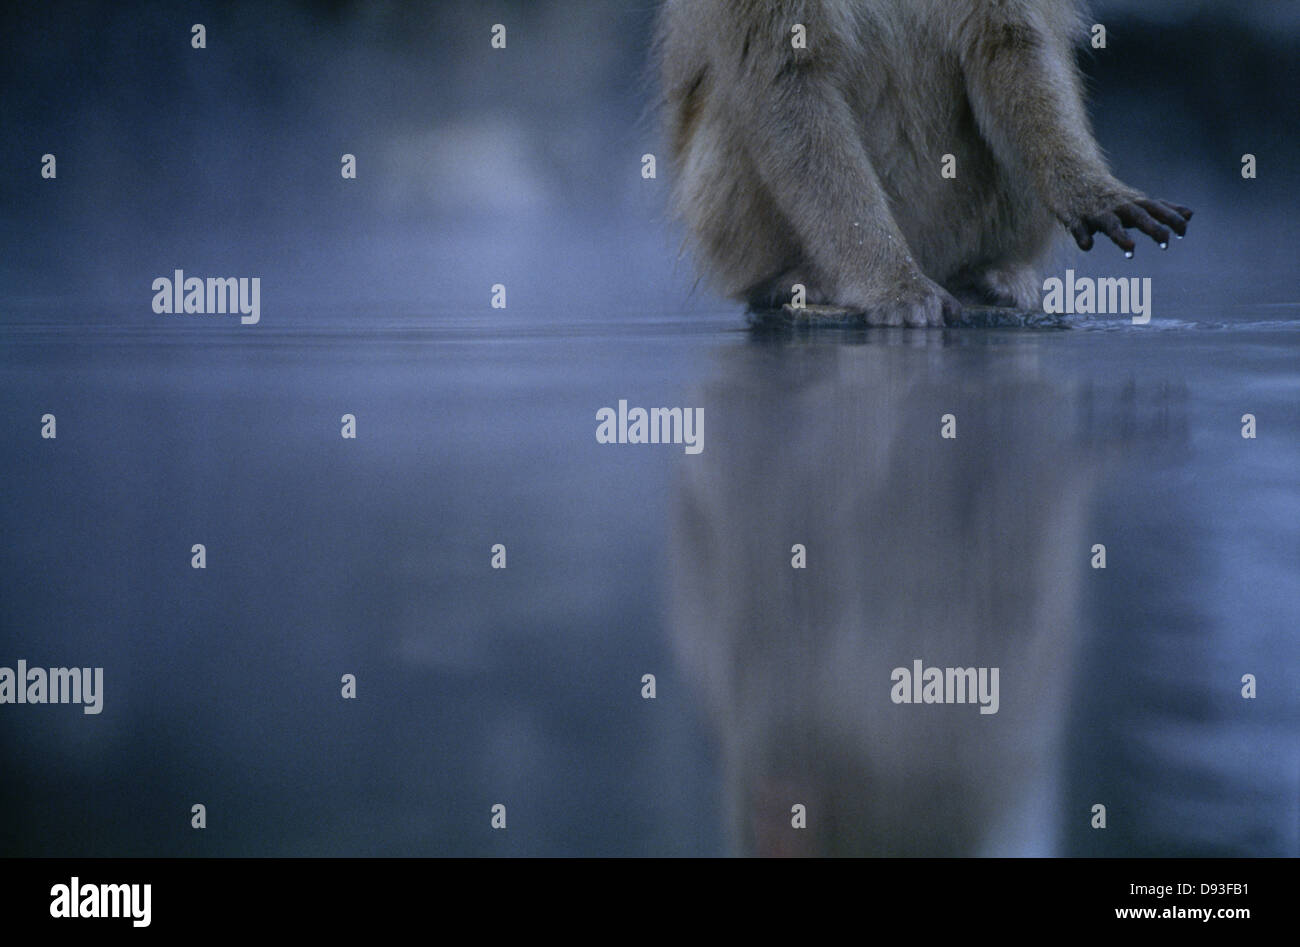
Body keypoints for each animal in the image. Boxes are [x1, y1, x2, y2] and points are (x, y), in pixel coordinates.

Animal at [655, 0, 1194, 325]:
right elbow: (784, 78)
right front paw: (891, 285)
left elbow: (1011, 43)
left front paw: (1086, 190)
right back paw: (791, 284)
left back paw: (990, 273)